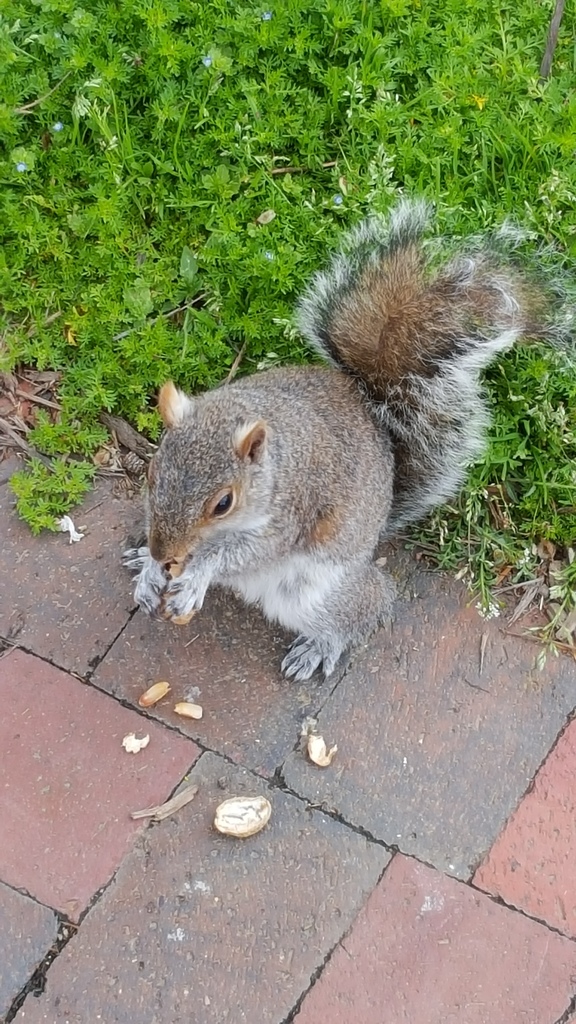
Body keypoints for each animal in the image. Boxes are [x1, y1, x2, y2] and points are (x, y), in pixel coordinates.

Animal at [124, 198, 569, 682]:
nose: (164, 551)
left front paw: (197, 572)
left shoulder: (290, 514)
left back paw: (319, 646)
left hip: (319, 590)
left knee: (365, 608)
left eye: (223, 503)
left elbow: (242, 553)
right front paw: (150, 569)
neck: (275, 464)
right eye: (152, 474)